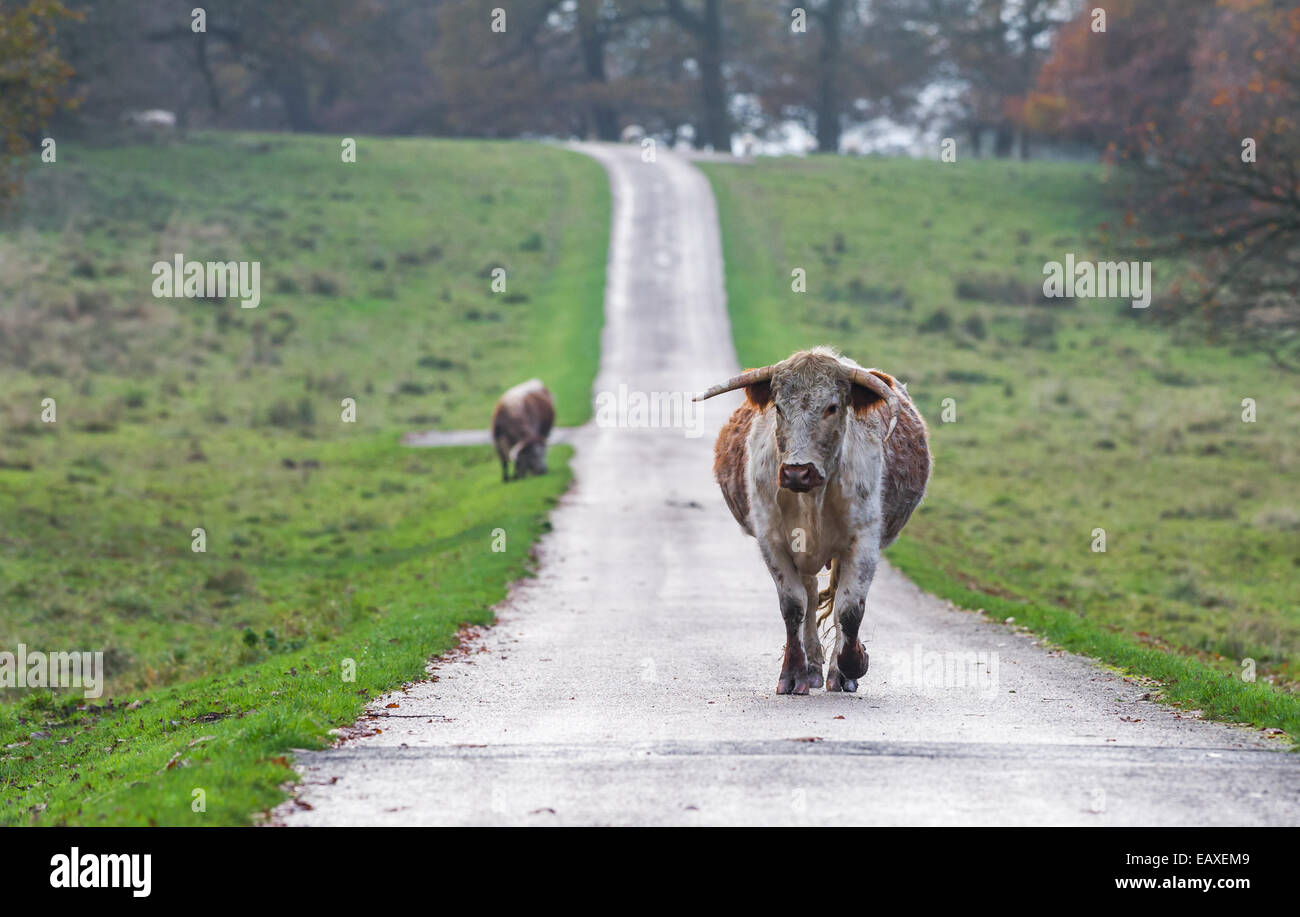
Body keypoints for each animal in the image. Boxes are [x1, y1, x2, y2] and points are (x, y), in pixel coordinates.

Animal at [695, 347, 931, 695]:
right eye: (779, 407)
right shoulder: (773, 541)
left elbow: (850, 610)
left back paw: (835, 672)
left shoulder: (863, 543)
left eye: (832, 407)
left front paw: (854, 665)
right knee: (808, 596)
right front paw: (794, 673)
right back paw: (812, 667)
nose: (797, 472)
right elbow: (793, 606)